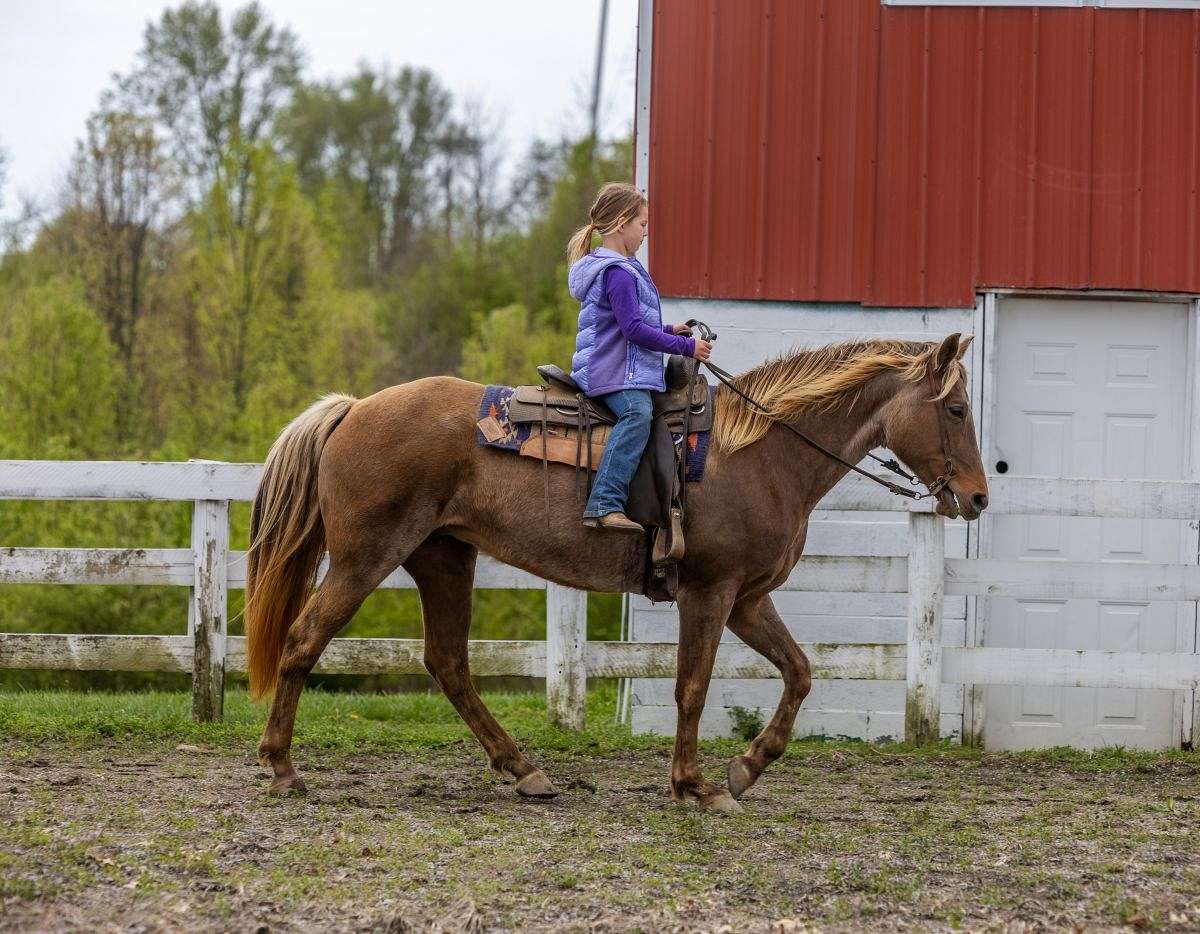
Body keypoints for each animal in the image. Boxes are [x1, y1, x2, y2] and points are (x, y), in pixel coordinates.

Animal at [244, 332, 989, 812]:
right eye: (955, 409)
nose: (978, 497)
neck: (757, 453)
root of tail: (353, 409)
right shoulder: (710, 593)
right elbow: (692, 687)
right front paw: (694, 786)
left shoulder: (747, 599)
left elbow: (800, 672)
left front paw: (746, 769)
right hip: (366, 557)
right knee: (304, 642)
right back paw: (281, 768)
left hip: (444, 557)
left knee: (448, 663)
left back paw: (525, 770)